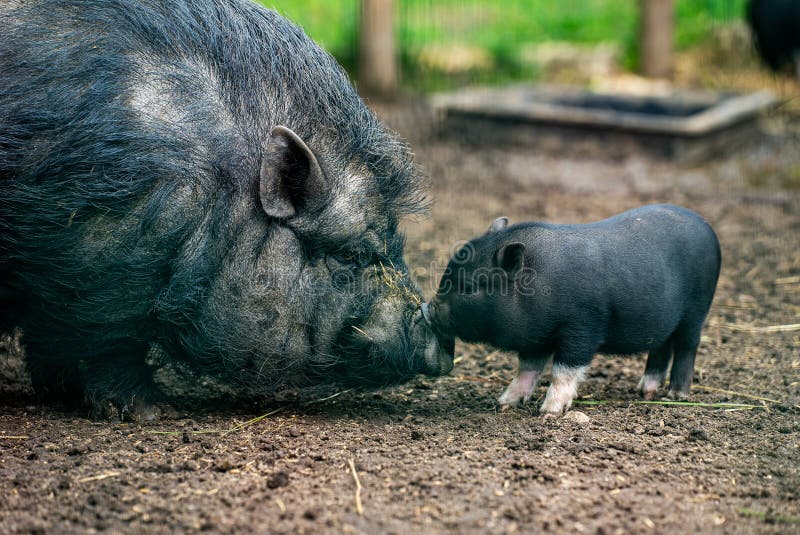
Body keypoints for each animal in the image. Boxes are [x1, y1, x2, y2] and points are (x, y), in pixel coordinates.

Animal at [0, 0, 453, 419]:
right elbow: (107, 342)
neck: (220, 197)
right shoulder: (100, 268)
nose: (445, 339)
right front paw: (154, 411)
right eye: (350, 253)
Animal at [423, 204, 720, 416]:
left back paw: (676, 395)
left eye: (470, 287)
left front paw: (549, 413)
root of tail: (705, 225)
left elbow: (563, 369)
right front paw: (504, 404)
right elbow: (527, 369)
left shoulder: (583, 326)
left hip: (697, 309)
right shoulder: (537, 337)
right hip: (665, 321)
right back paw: (644, 391)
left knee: (687, 347)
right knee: (661, 348)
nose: (428, 309)